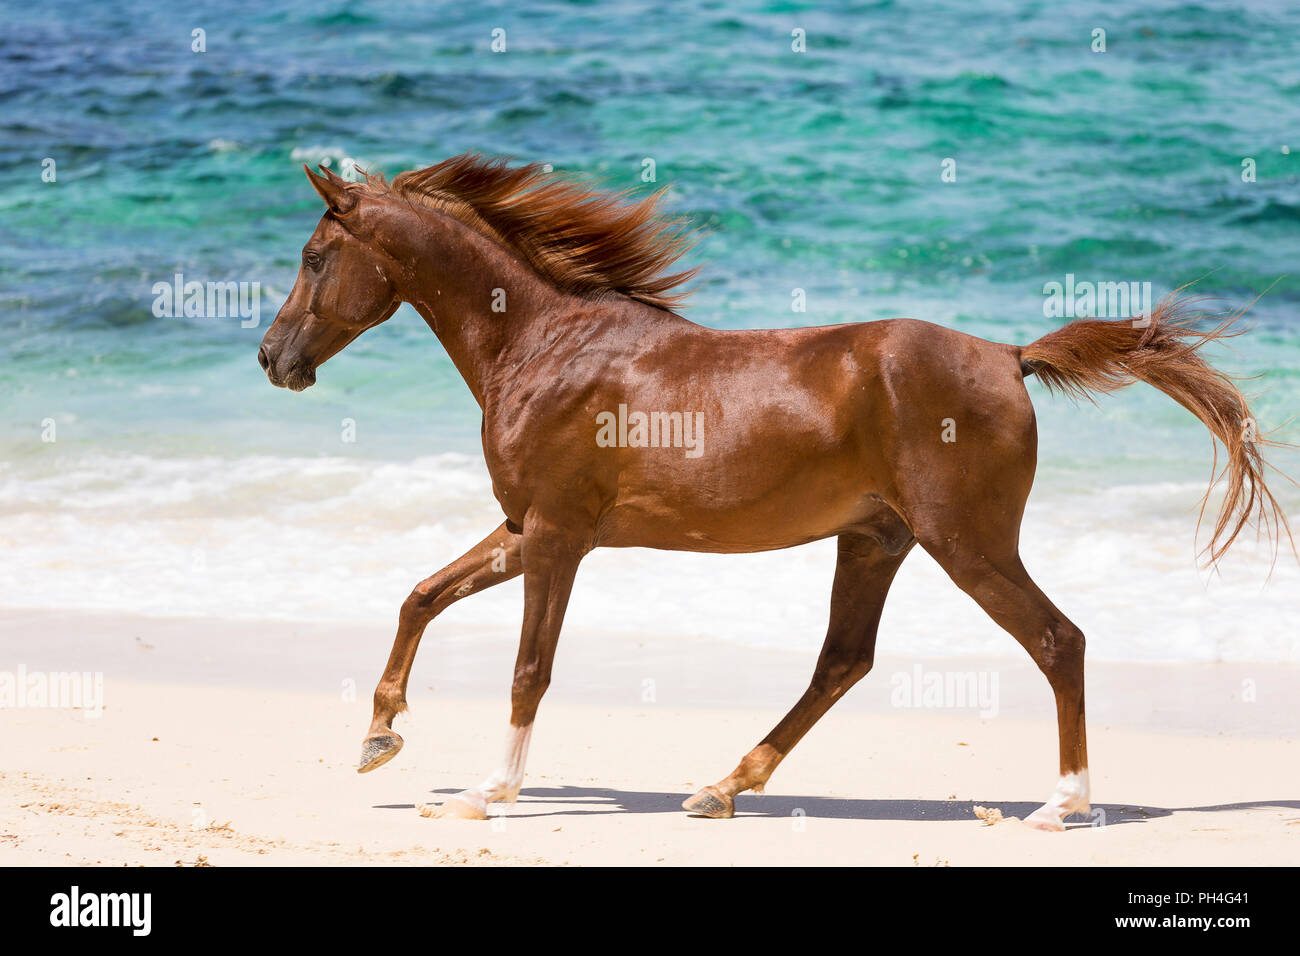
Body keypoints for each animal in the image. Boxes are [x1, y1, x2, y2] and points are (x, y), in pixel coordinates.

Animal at [258, 154, 1291, 830]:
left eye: (313, 256)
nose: (271, 359)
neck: (546, 346)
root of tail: (1009, 355)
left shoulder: (555, 535)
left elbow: (528, 668)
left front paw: (488, 791)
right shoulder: (524, 528)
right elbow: (421, 594)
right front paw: (379, 737)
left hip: (968, 543)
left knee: (1056, 640)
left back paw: (1062, 804)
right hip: (876, 540)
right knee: (843, 661)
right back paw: (721, 786)